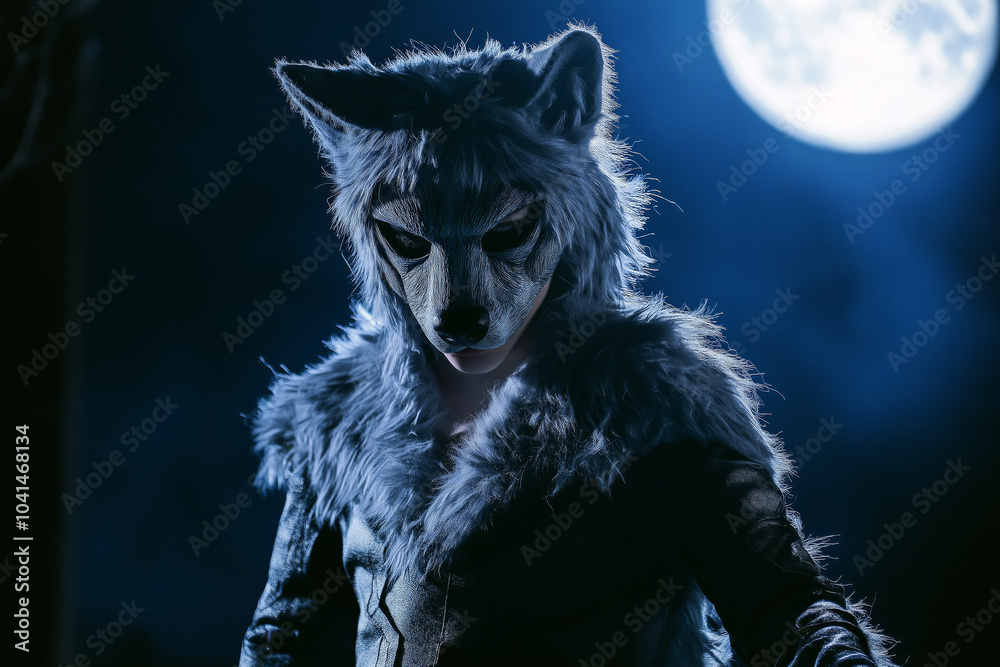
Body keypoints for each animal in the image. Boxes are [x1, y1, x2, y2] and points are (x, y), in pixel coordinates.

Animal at [240, 25, 899, 666]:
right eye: (405, 239)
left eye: (509, 231)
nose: (459, 325)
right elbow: (281, 624)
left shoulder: (681, 404)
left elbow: (792, 607)